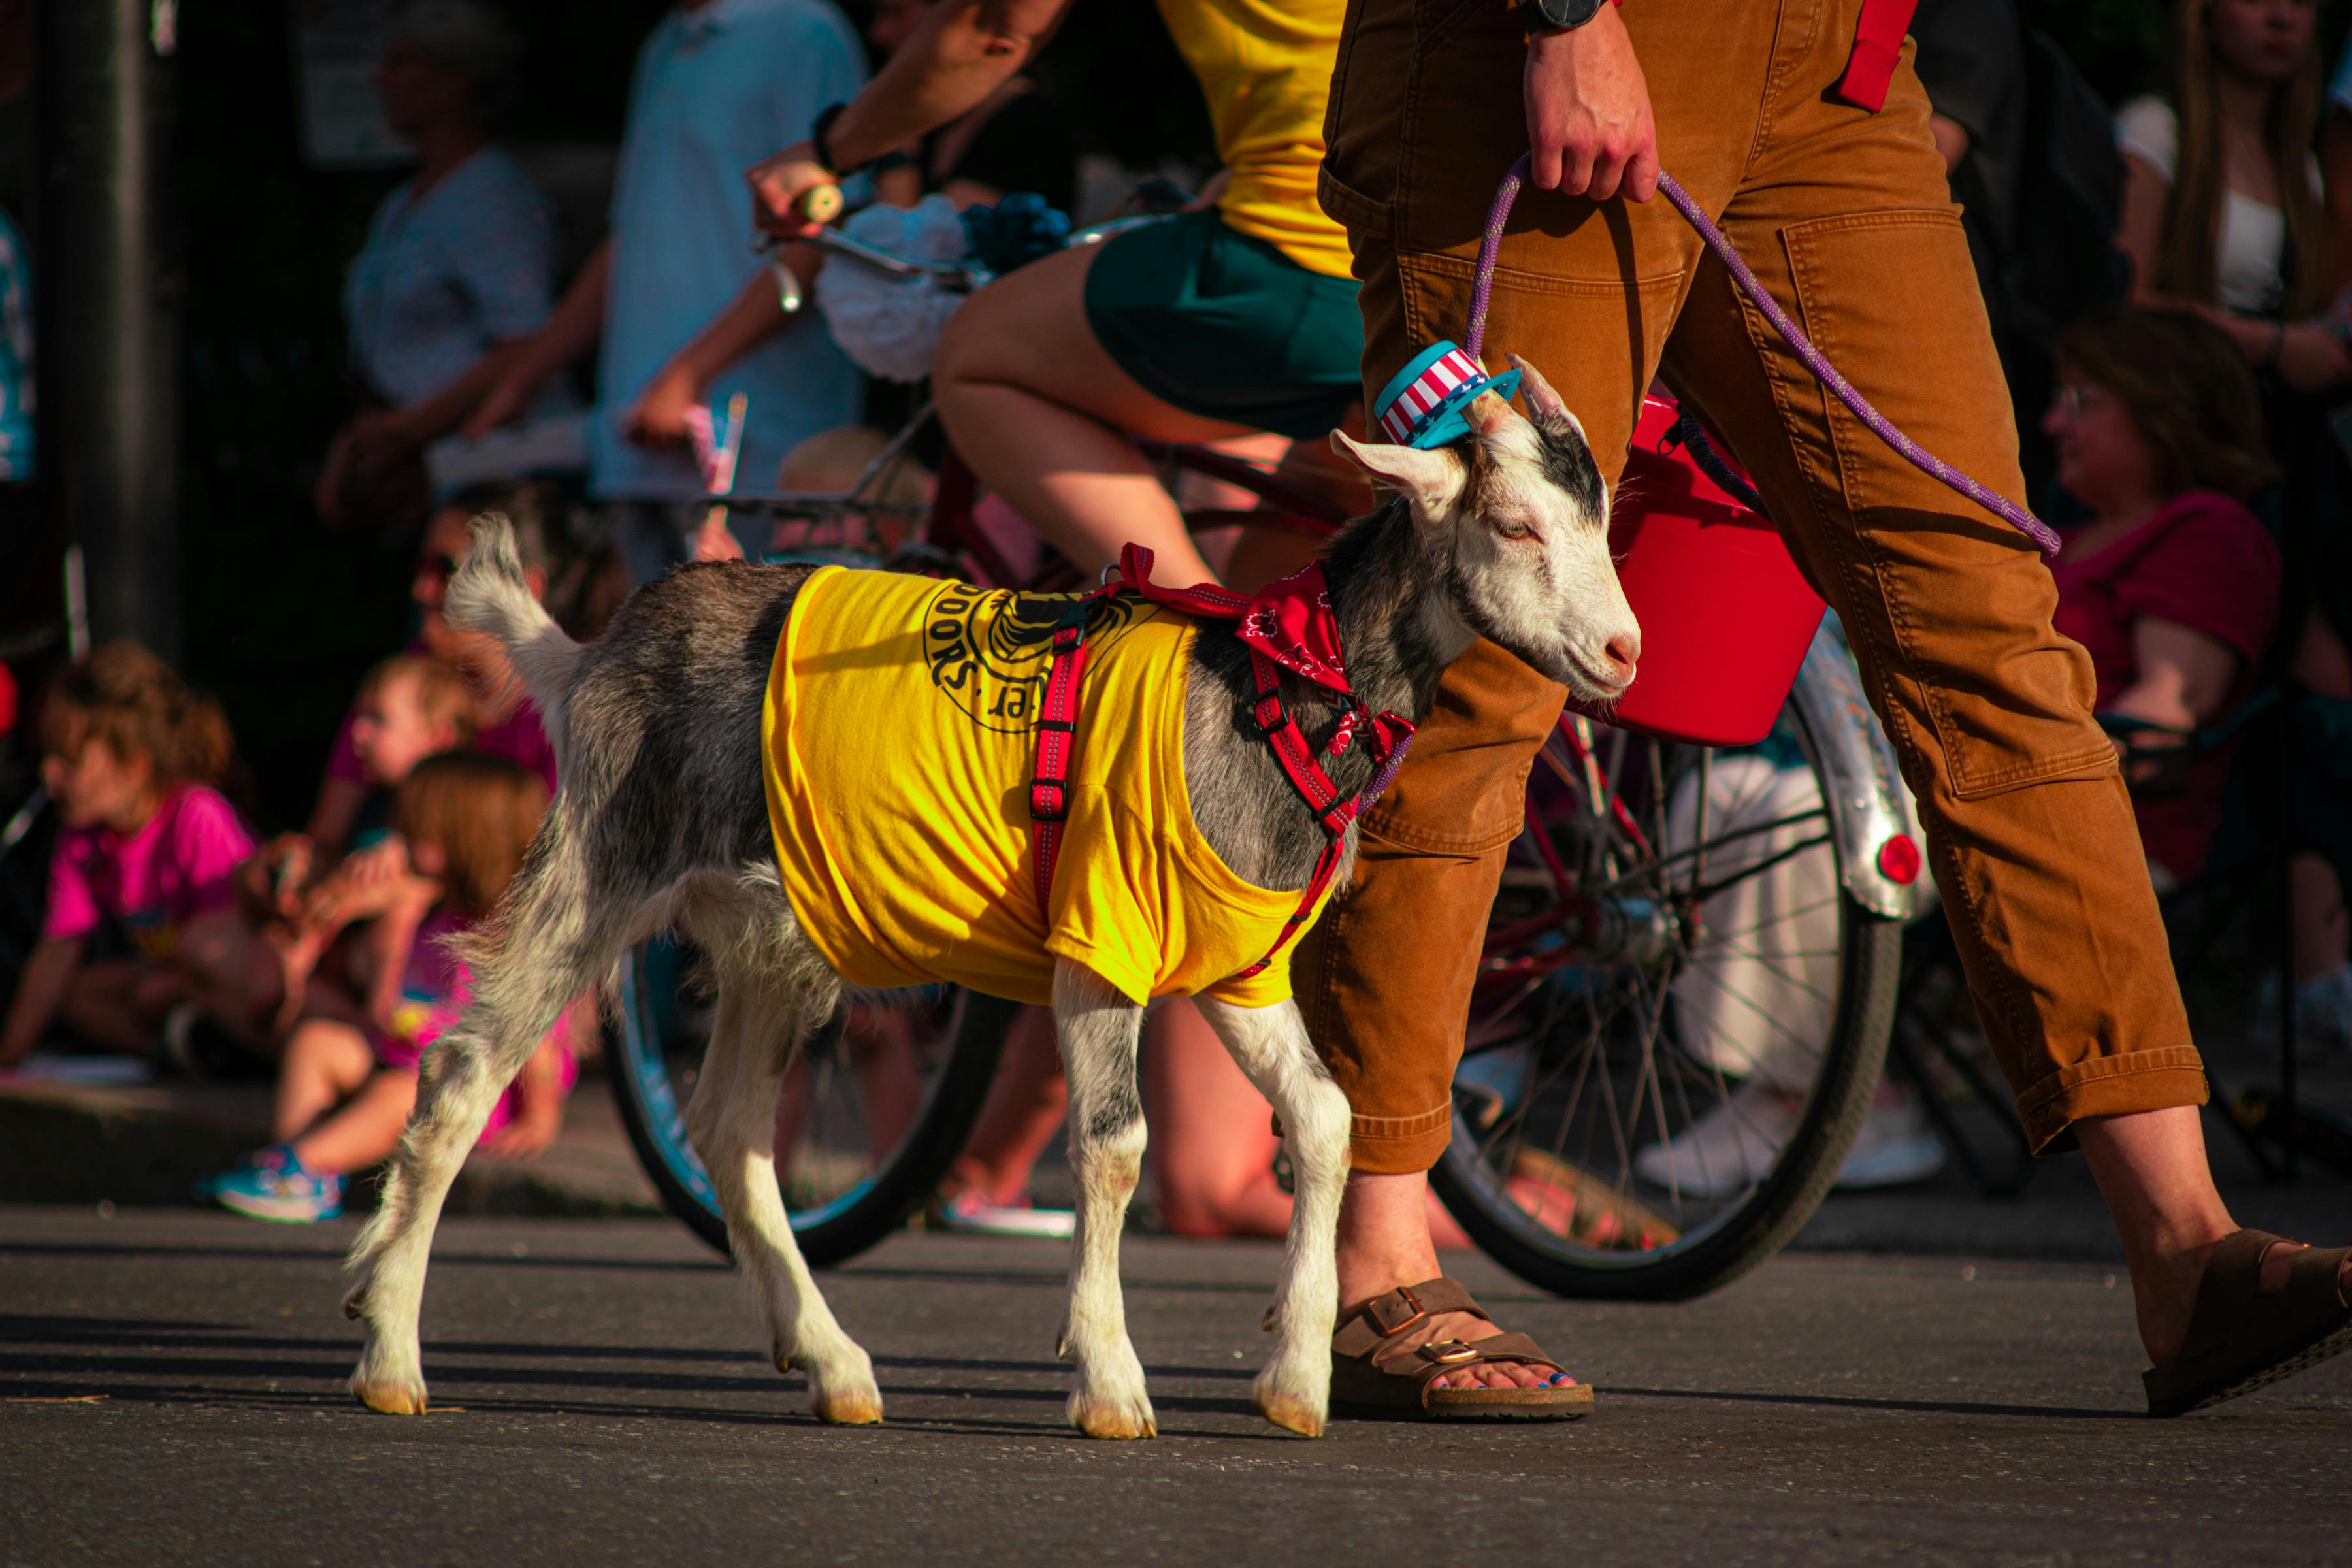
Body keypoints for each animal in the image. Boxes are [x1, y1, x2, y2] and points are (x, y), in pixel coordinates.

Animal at [340, 355, 1640, 1440]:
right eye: (1516, 525)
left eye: (1603, 519)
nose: (1624, 654)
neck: (1265, 697)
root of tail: (591, 651)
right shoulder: (1102, 942)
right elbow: (1114, 1145)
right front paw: (1110, 1383)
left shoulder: (1241, 967)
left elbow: (1324, 1116)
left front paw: (1298, 1377)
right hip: (603, 864)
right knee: (462, 1075)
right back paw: (392, 1357)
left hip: (774, 936)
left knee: (729, 1128)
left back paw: (835, 1365)